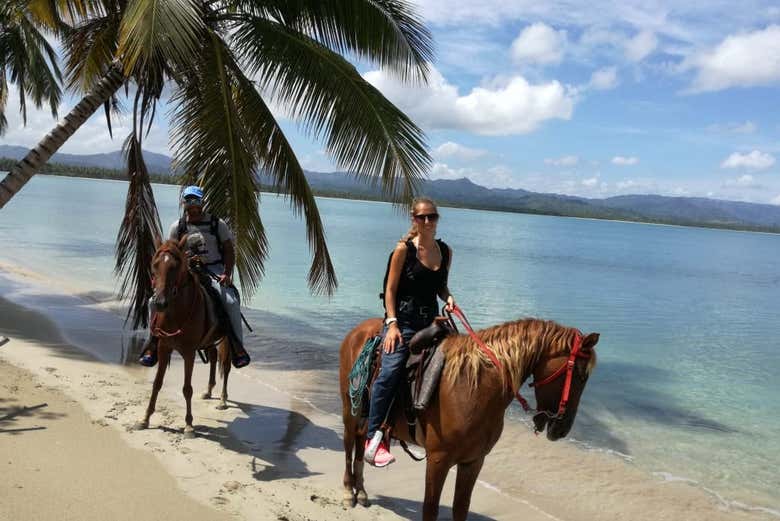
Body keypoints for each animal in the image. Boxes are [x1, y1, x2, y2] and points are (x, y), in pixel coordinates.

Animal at [134, 236, 232, 437]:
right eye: (155, 265)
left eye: (175, 266)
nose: (160, 302)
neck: (176, 312)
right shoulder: (164, 348)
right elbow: (157, 383)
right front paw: (145, 418)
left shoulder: (189, 352)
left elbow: (187, 389)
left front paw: (188, 425)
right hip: (209, 341)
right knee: (212, 358)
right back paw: (209, 390)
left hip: (225, 340)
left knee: (225, 366)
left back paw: (223, 400)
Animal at [339, 316, 599, 520]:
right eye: (580, 375)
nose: (563, 429)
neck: (473, 388)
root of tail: (357, 332)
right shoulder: (438, 460)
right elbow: (430, 510)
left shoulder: (473, 461)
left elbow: (460, 508)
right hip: (349, 414)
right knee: (350, 445)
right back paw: (348, 491)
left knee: (361, 444)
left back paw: (361, 490)